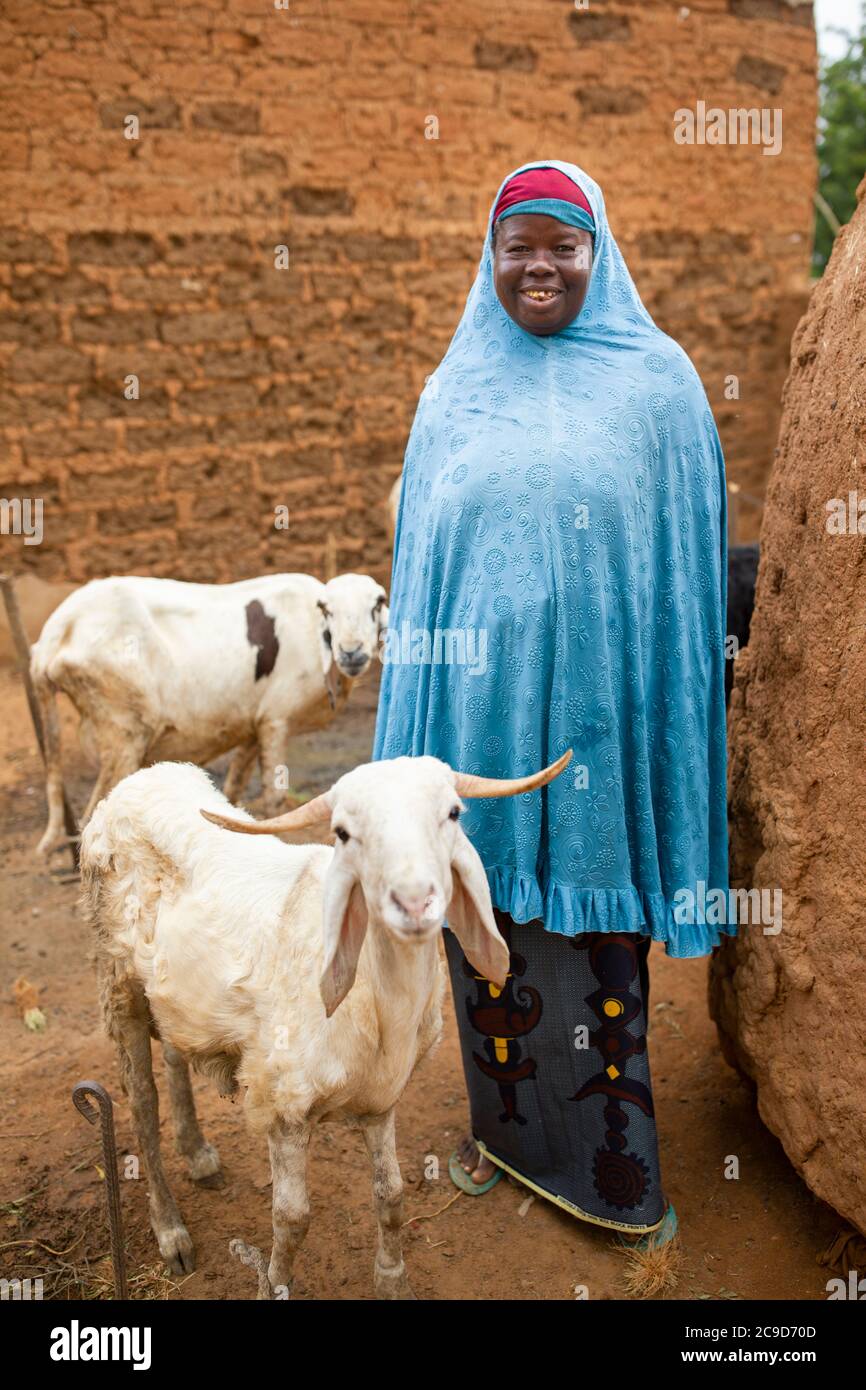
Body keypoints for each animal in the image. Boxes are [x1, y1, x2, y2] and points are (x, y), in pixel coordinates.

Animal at [31, 571, 387, 857]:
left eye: (376, 605)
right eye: (328, 609)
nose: (351, 652)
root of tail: (57, 629)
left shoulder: (254, 725)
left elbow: (233, 794)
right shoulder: (276, 720)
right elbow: (274, 800)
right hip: (125, 733)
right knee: (90, 817)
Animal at [79, 749, 571, 1299]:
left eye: (452, 813)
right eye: (343, 832)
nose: (414, 902)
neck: (380, 1005)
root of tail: (141, 778)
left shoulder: (381, 1099)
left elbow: (392, 1195)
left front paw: (392, 1281)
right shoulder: (283, 1105)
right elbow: (293, 1219)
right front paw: (273, 1286)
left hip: (173, 996)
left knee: (173, 1053)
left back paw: (198, 1153)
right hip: (117, 983)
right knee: (141, 1104)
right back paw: (171, 1230)